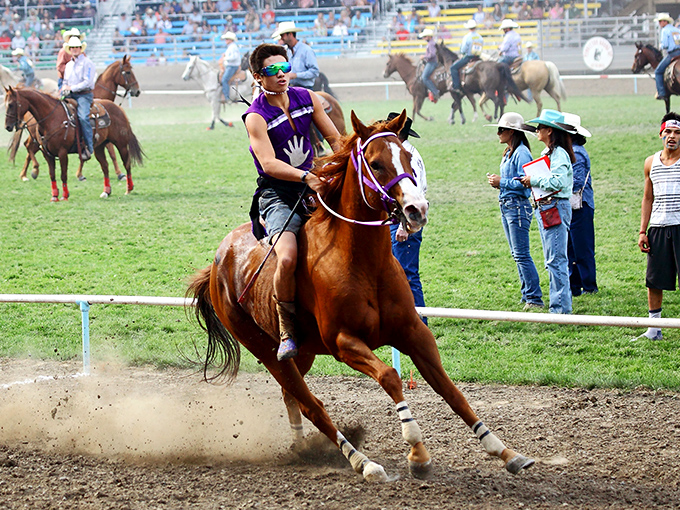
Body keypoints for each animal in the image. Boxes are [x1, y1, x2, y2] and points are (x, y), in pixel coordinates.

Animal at [4, 87, 144, 201]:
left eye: (11, 104)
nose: (7, 127)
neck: (51, 119)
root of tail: (118, 108)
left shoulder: (62, 152)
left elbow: (63, 175)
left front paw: (65, 195)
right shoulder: (47, 154)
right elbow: (52, 175)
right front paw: (54, 196)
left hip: (121, 144)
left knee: (127, 164)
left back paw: (129, 188)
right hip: (99, 147)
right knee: (105, 166)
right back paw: (106, 192)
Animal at [9, 56, 141, 189]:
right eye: (128, 72)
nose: (137, 91)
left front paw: (118, 174)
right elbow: (110, 153)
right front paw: (82, 174)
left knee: (29, 147)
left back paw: (27, 174)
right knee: (29, 147)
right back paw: (31, 171)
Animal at [187, 110, 535, 482]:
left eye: (408, 157)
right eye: (376, 164)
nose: (416, 209)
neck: (362, 262)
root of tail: (217, 263)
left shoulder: (414, 332)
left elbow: (450, 390)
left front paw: (504, 450)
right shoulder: (345, 342)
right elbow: (390, 377)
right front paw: (417, 451)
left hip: (304, 353)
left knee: (292, 397)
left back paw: (302, 448)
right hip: (267, 350)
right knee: (312, 405)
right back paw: (362, 461)